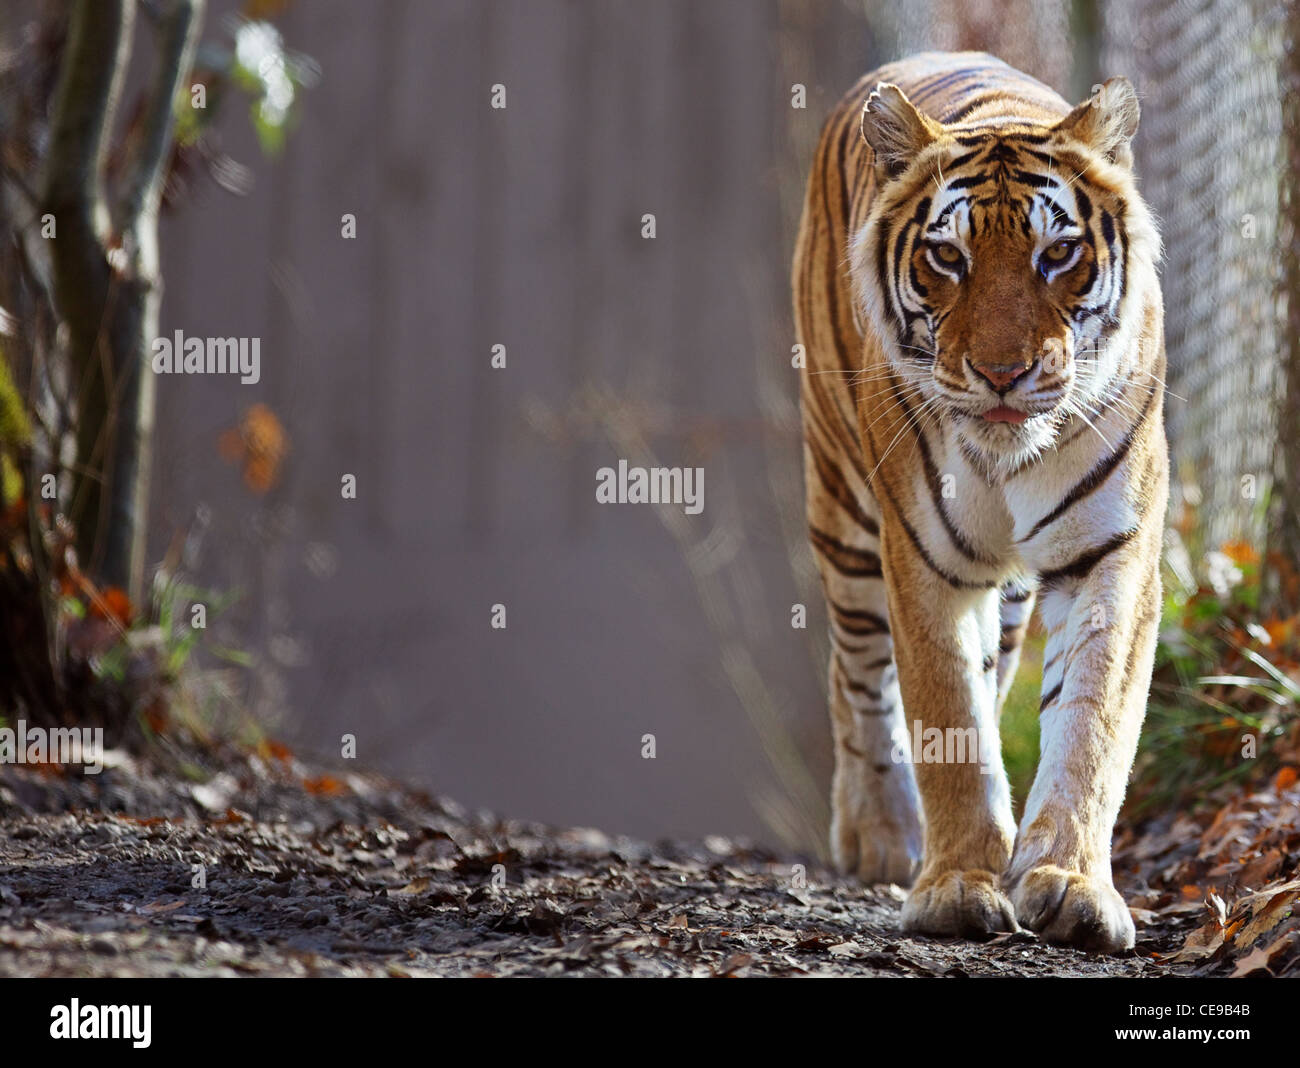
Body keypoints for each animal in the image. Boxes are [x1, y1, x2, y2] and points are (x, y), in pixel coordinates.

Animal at [792, 51, 1167, 953]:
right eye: (948, 258)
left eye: (1058, 253)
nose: (1002, 373)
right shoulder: (924, 560)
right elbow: (946, 723)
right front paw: (957, 888)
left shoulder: (1111, 554)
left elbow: (1091, 726)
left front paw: (1070, 886)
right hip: (845, 515)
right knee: (856, 674)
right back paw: (881, 836)